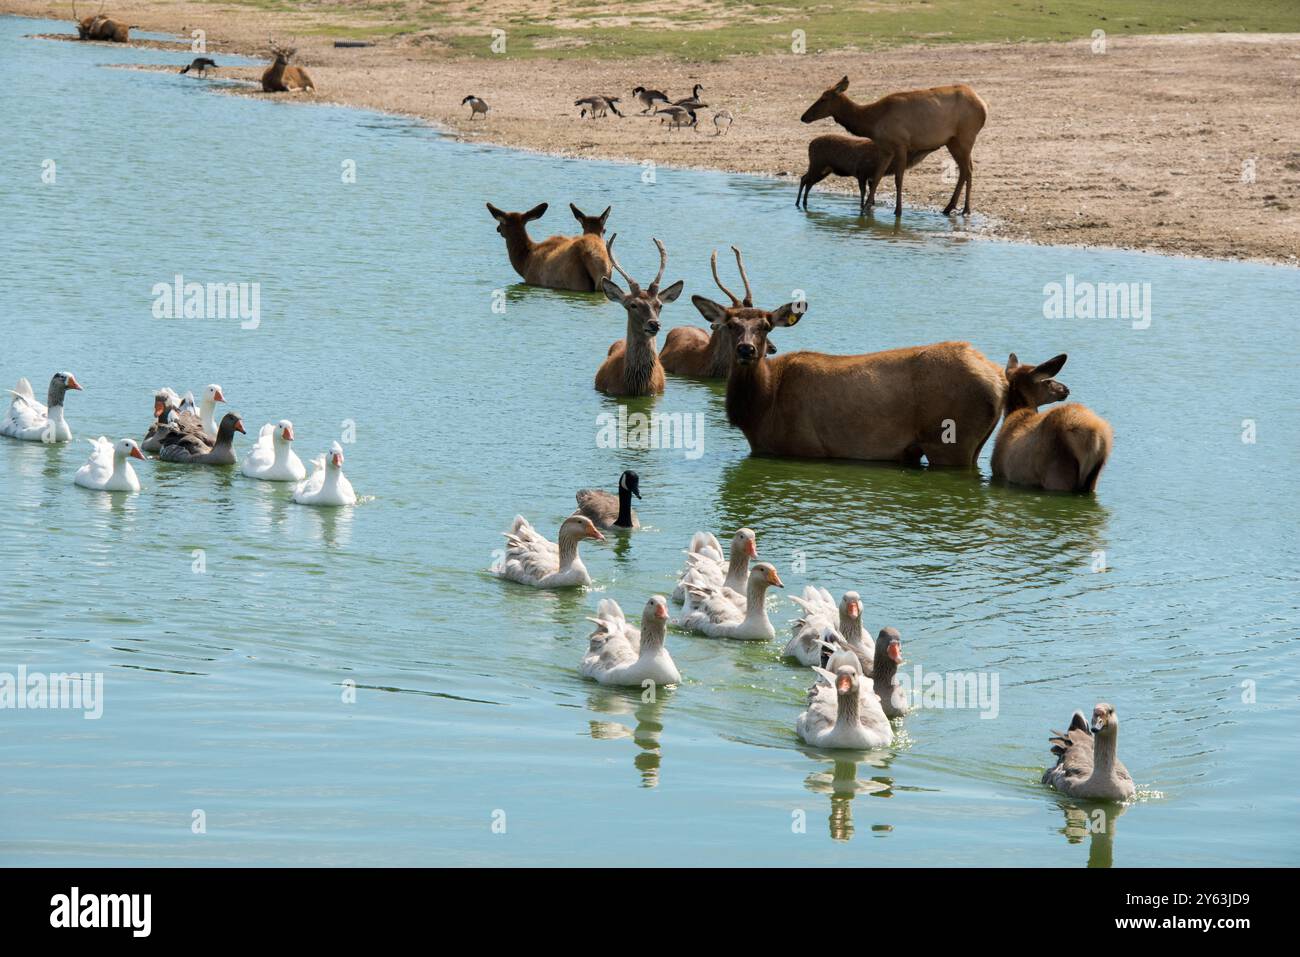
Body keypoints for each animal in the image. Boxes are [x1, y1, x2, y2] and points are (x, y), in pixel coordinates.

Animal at [690, 246, 1006, 465]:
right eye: (732, 325)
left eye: (766, 327)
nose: (747, 349)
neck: (760, 410)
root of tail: (999, 380)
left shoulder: (804, 447)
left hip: (950, 441)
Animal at [797, 134, 938, 213]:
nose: (936, 145)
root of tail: (810, 144)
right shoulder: (861, 172)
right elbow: (864, 192)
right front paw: (862, 209)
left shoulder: (869, 176)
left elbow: (871, 194)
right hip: (818, 164)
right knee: (805, 179)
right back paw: (800, 203)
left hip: (824, 168)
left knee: (806, 179)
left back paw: (801, 203)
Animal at [991, 354, 1113, 493]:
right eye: (1048, 381)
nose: (1066, 389)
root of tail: (1094, 437)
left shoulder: (999, 472)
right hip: (1094, 476)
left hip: (1057, 473)